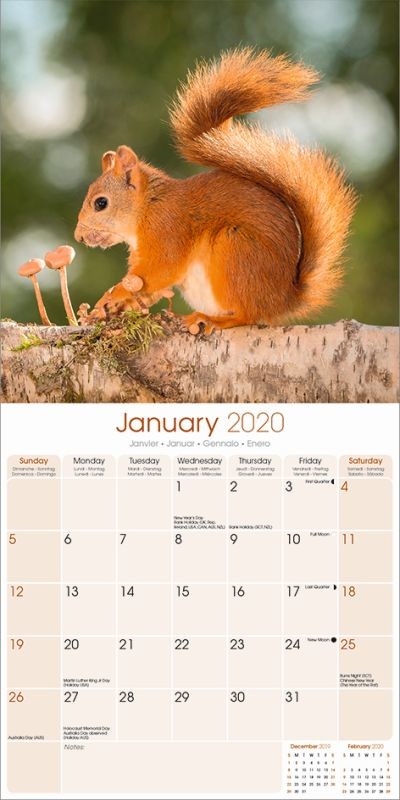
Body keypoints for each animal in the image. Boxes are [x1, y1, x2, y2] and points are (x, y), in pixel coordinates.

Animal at [75, 48, 356, 334]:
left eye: (100, 203)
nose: (79, 237)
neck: (148, 206)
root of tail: (283, 300)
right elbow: (147, 288)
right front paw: (108, 308)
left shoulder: (167, 229)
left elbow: (160, 271)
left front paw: (111, 296)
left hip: (235, 250)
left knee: (247, 315)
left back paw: (211, 319)